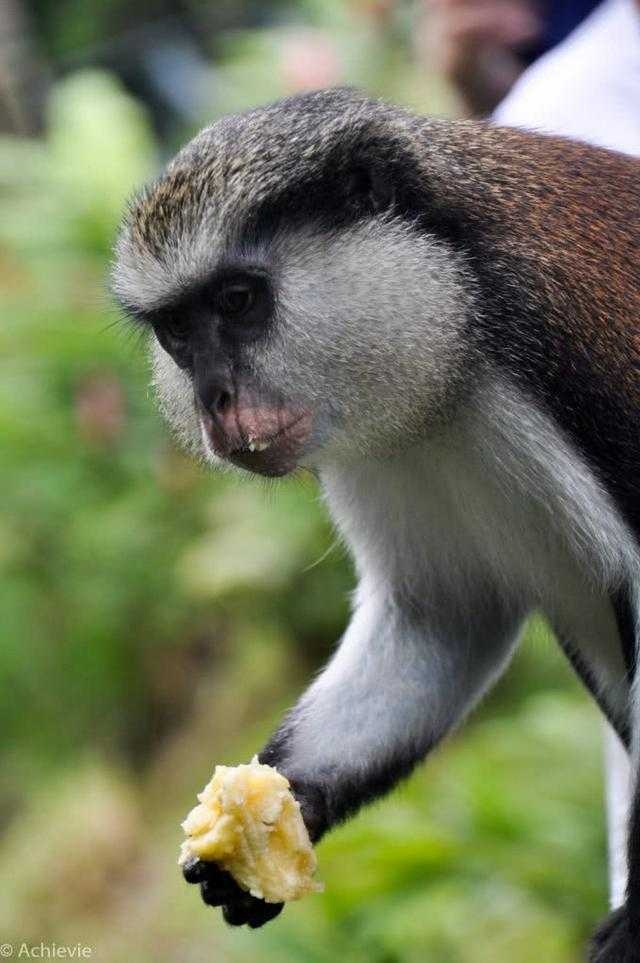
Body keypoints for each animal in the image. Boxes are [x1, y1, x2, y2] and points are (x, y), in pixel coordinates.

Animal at [113, 88, 640, 960]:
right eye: (178, 332)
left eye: (238, 301)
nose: (216, 403)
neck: (456, 325)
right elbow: (443, 616)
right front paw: (265, 826)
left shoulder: (560, 350)